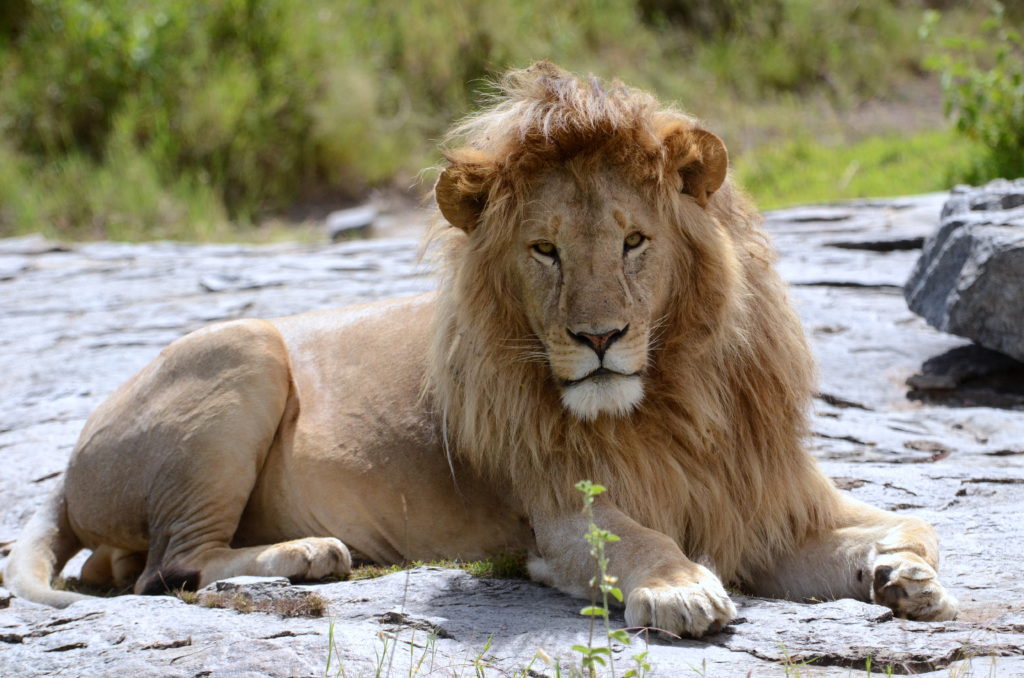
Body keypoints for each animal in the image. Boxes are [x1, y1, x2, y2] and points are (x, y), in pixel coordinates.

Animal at [4, 62, 957, 636]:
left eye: (634, 242)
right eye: (545, 251)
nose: (599, 338)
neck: (674, 399)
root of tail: (69, 465)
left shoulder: (762, 504)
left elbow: (909, 521)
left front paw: (901, 575)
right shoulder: (557, 514)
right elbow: (633, 539)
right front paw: (681, 588)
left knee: (133, 567)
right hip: (244, 351)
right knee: (170, 567)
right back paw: (310, 555)